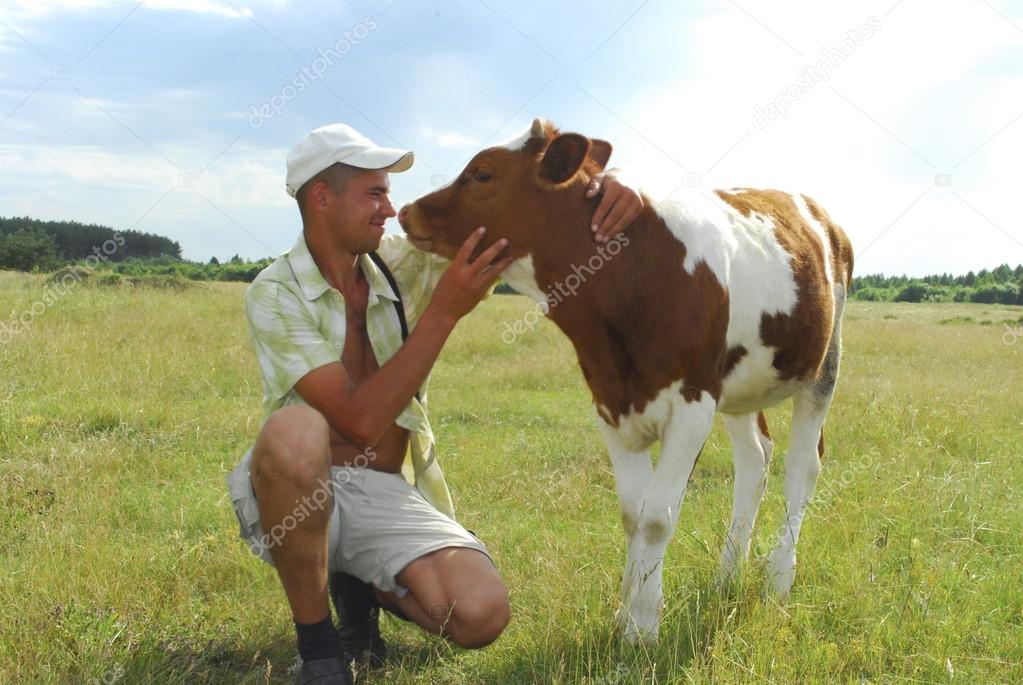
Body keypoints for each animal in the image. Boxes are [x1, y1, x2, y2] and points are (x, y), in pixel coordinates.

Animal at [398, 118, 854, 644]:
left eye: (482, 173)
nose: (406, 211)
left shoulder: (693, 403)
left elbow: (656, 518)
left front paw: (644, 629)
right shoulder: (610, 402)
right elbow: (633, 515)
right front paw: (627, 616)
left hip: (824, 365)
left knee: (802, 467)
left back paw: (778, 579)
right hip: (740, 385)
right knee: (755, 460)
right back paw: (729, 573)